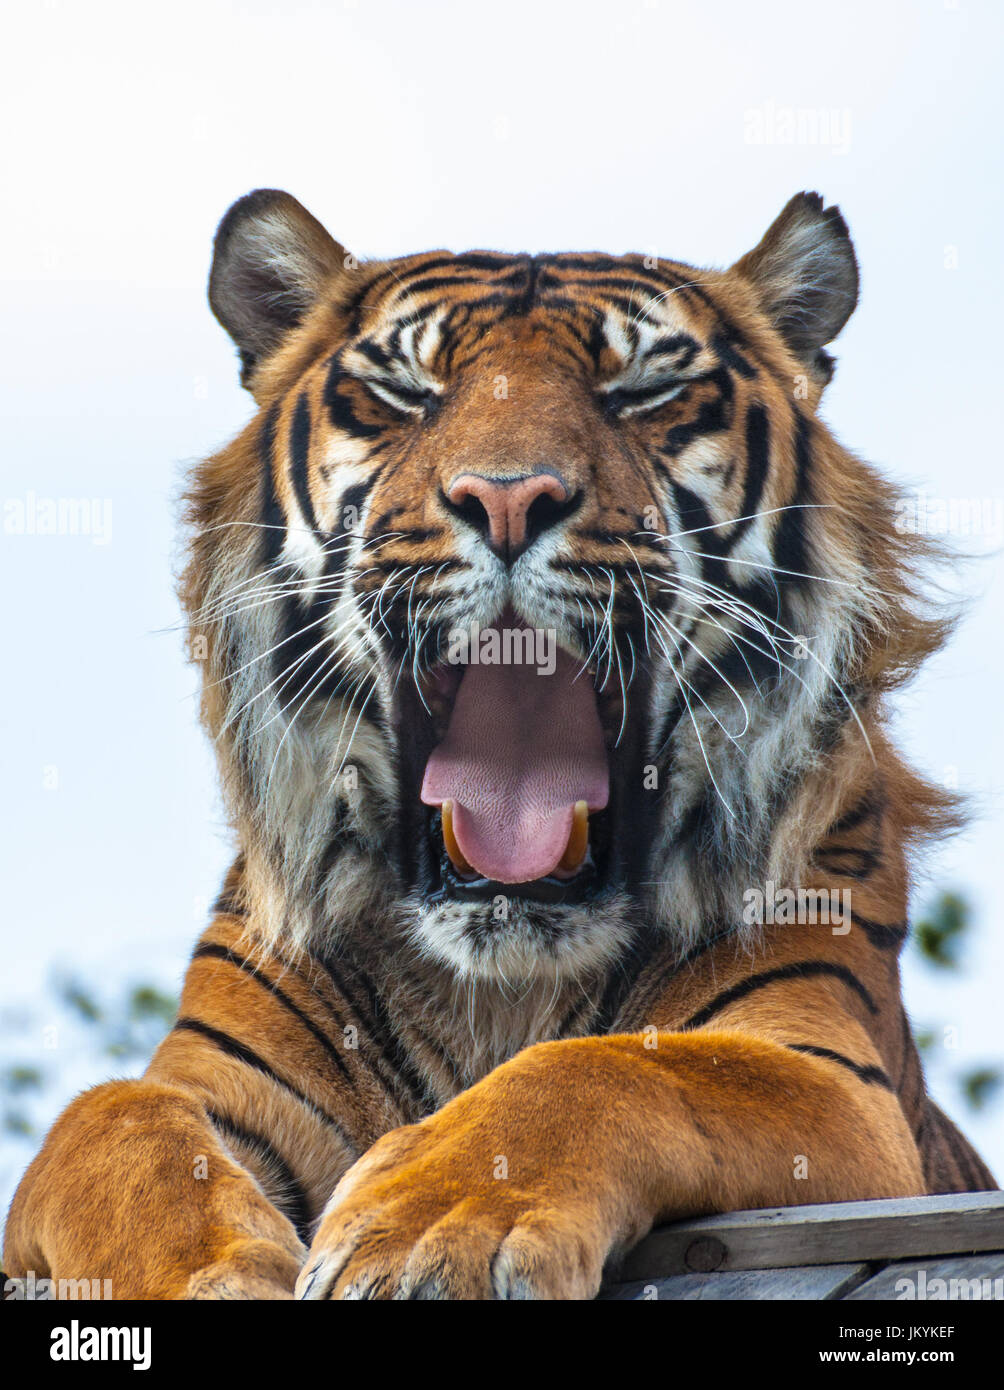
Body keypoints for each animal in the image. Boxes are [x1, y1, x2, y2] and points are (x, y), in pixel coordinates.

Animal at [4, 188, 994, 1301]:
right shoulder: (206, 1080)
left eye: (644, 390)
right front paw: (206, 1275)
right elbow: (108, 1121)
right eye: (403, 393)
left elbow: (616, 1063)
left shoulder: (830, 1079)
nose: (509, 497)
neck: (496, 988)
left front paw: (429, 1230)